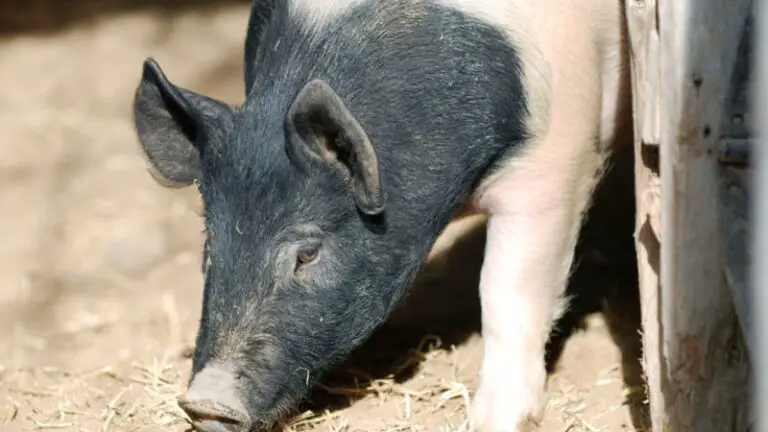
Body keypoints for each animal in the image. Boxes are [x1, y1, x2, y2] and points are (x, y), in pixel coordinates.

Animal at [131, 0, 631, 431]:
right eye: (210, 248)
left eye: (308, 253)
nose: (205, 401)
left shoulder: (555, 155)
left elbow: (506, 290)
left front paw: (496, 421)